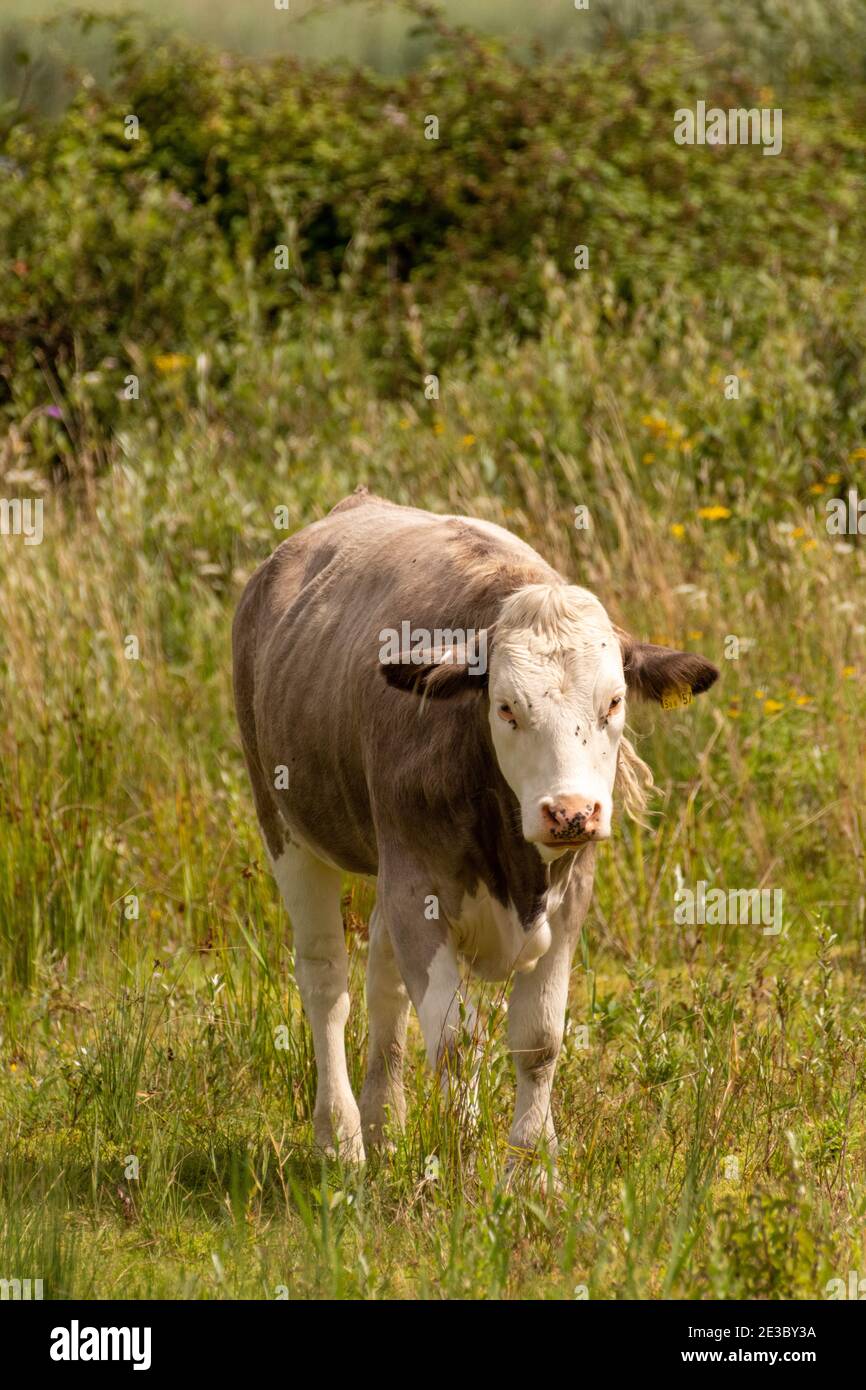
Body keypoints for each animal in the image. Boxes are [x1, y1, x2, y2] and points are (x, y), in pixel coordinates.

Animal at [232, 487, 718, 1169]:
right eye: (506, 707)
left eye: (615, 701)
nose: (571, 811)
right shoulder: (419, 890)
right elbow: (457, 1042)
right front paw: (464, 1163)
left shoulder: (570, 897)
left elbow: (540, 1040)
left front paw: (533, 1166)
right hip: (285, 826)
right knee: (326, 979)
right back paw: (342, 1138)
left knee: (382, 982)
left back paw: (384, 1124)